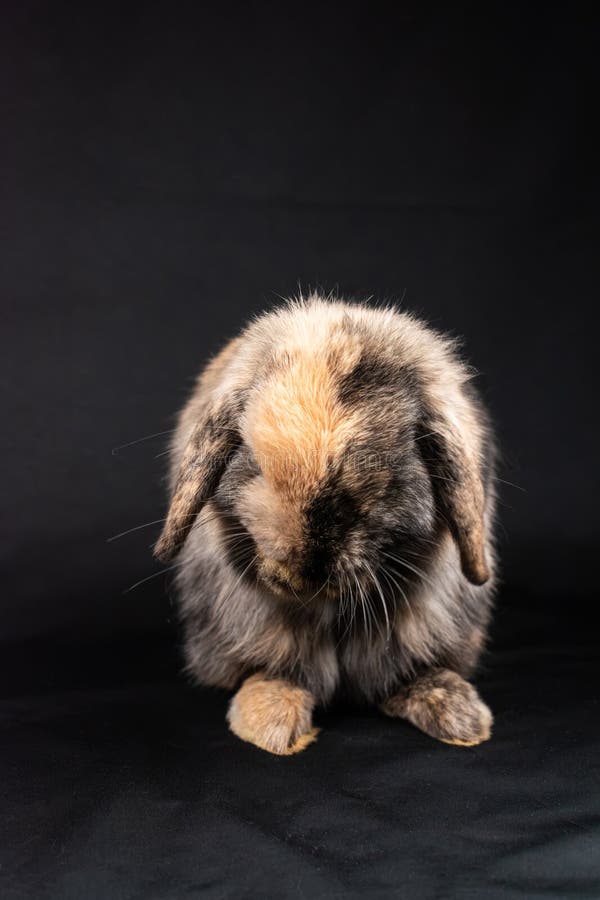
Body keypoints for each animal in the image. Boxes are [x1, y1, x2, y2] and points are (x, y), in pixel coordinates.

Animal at [154, 295, 497, 755]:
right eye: (255, 462)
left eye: (385, 468)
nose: (306, 569)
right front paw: (271, 726)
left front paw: (463, 720)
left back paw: (458, 716)